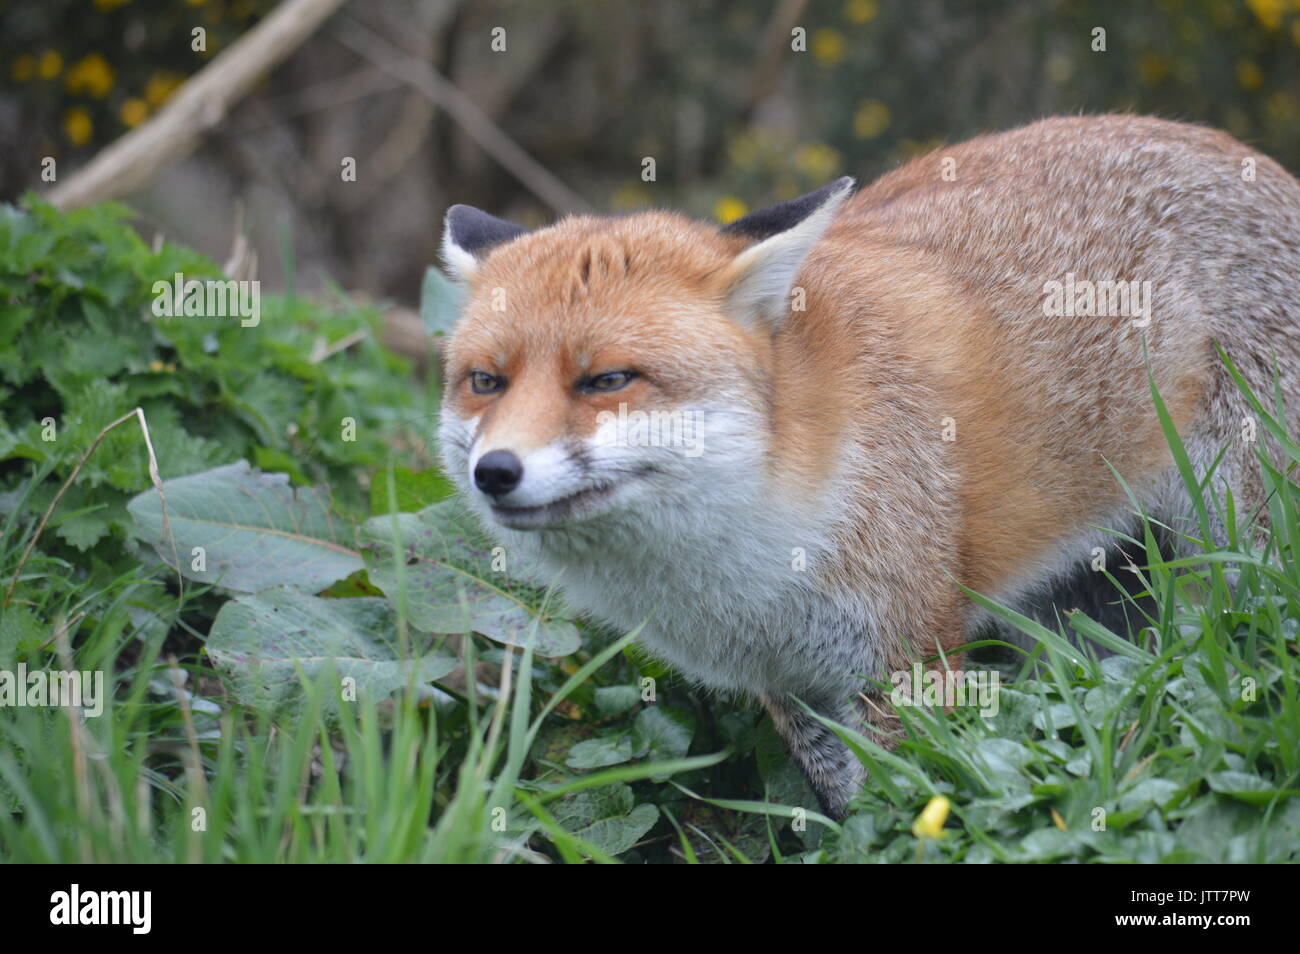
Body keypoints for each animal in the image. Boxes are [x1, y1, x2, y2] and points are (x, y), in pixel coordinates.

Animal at [437, 114, 1300, 819]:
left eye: (607, 380)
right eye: (486, 382)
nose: (495, 472)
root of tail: (1257, 160)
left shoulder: (905, 652)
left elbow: (913, 799)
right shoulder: (793, 680)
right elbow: (845, 798)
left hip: (1243, 551)